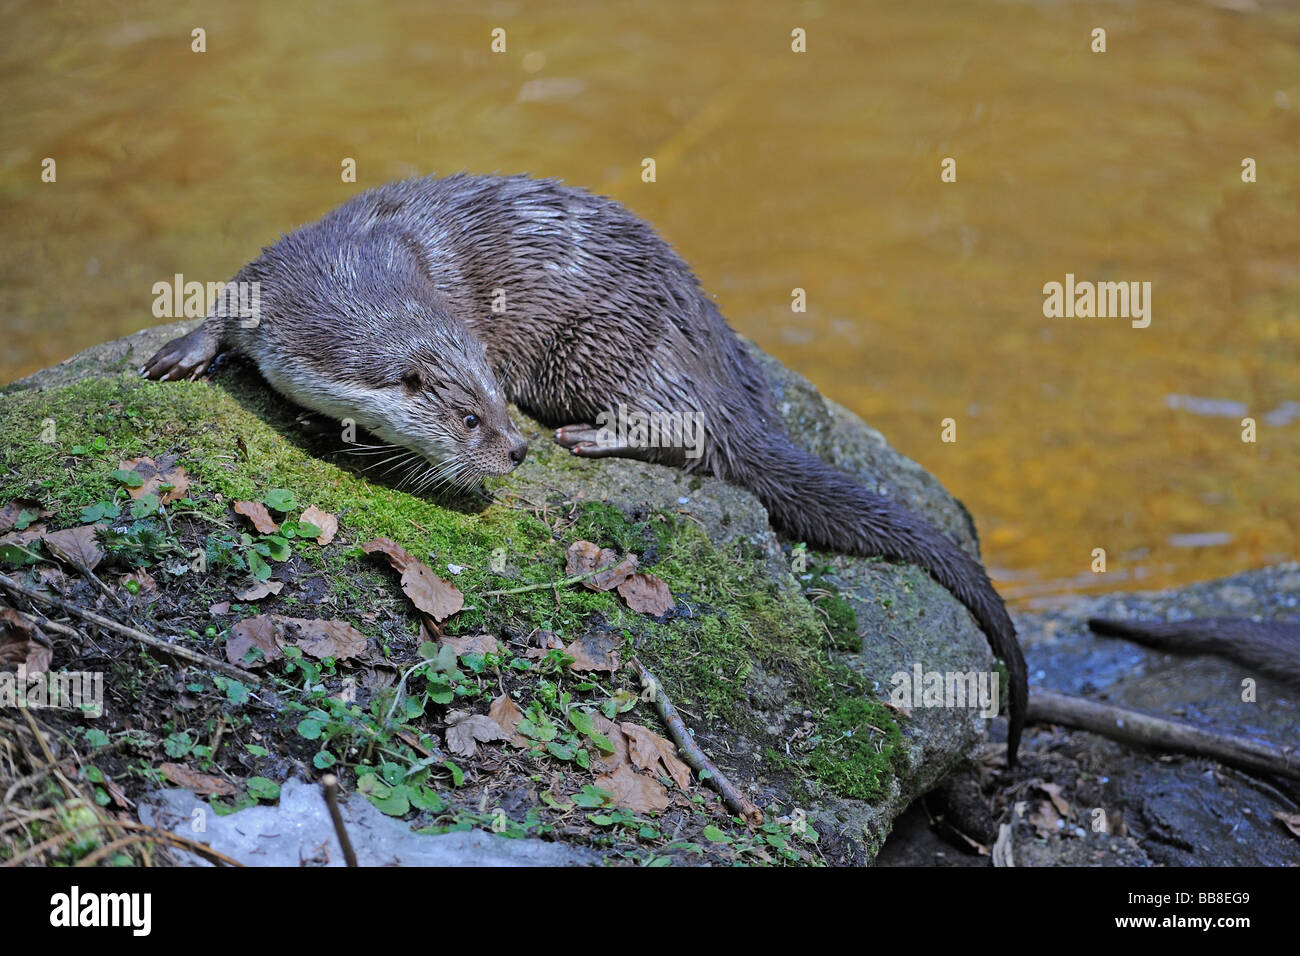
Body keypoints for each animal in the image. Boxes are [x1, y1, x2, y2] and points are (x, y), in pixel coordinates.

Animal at [143, 173, 1029, 764]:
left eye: (500, 397)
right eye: (471, 416)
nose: (516, 448)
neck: (346, 272)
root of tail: (712, 351)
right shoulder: (273, 272)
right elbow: (223, 304)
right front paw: (184, 352)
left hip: (613, 347)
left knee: (692, 431)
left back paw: (595, 438)